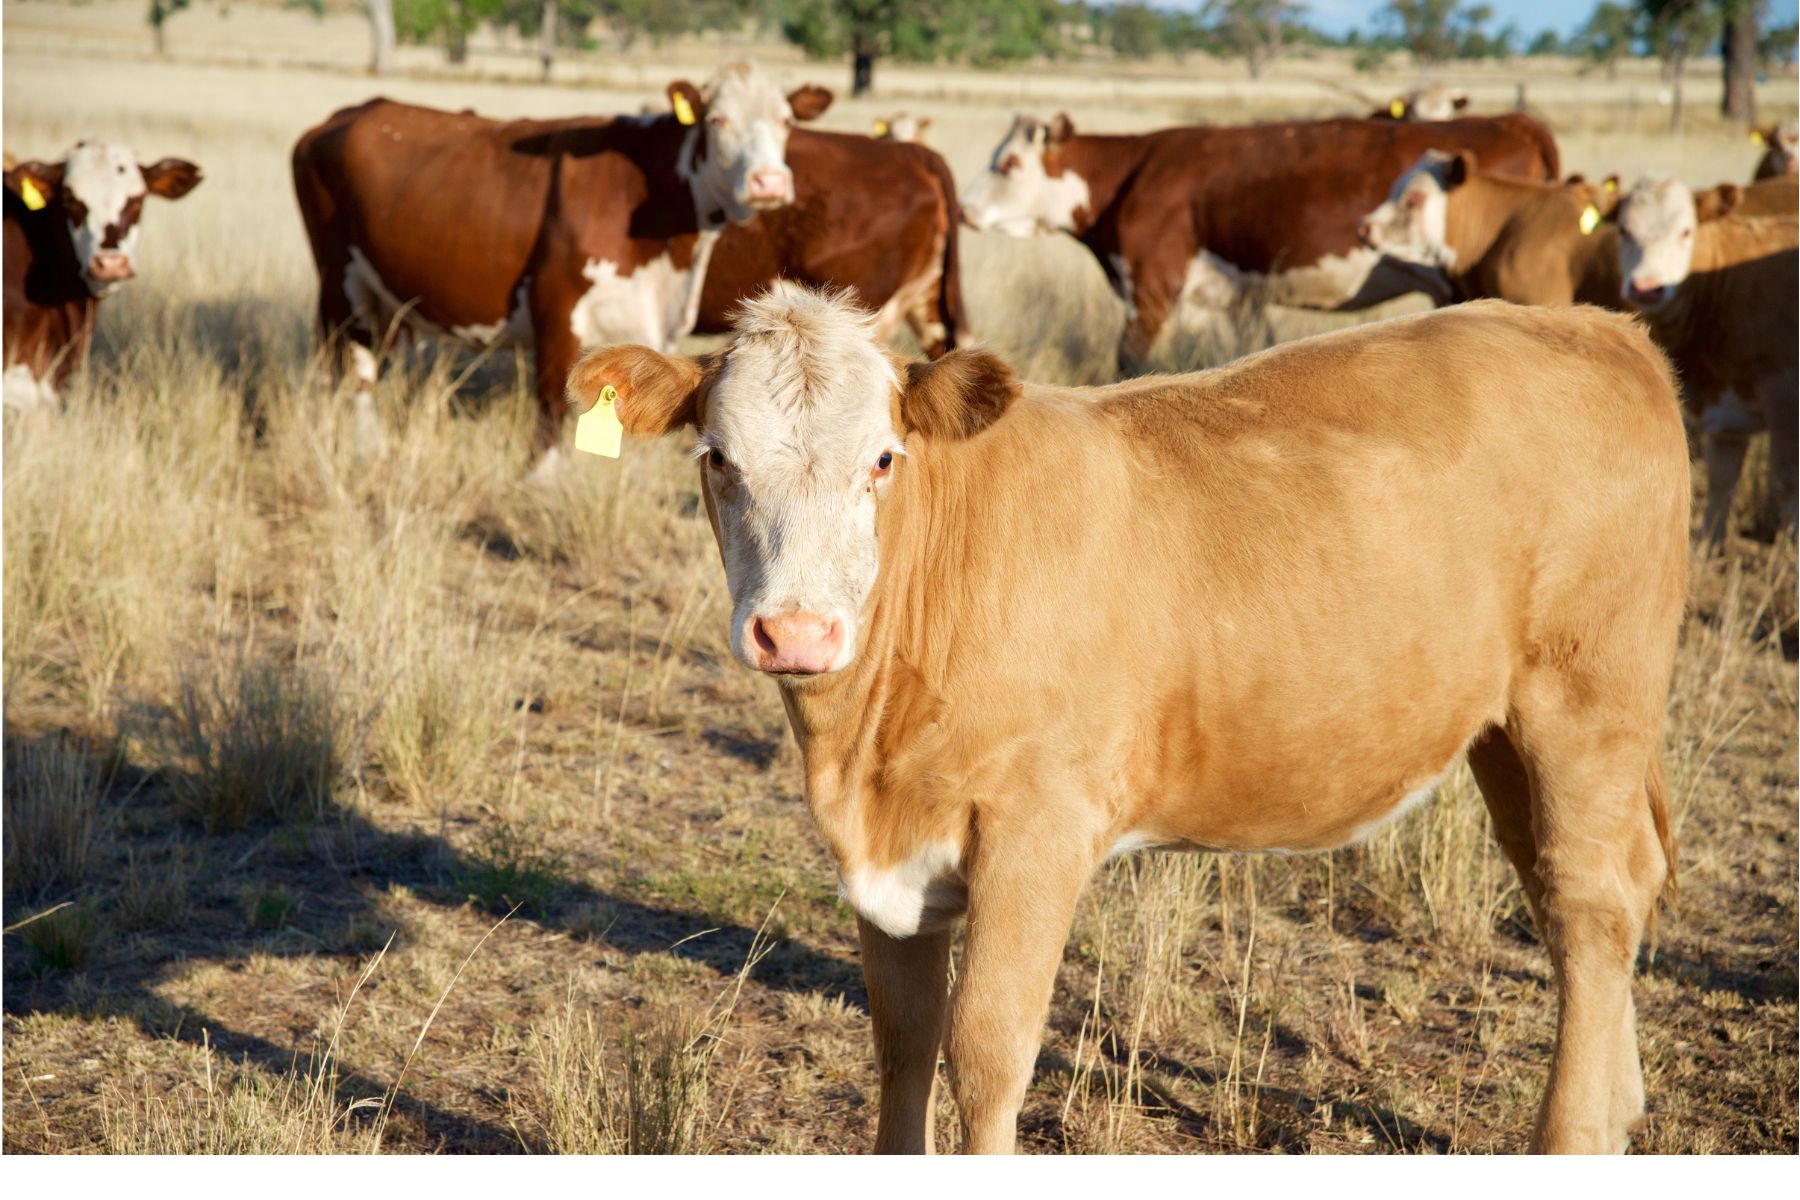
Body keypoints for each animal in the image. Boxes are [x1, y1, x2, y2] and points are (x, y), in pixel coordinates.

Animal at [290, 61, 832, 468]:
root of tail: (355, 111)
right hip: (341, 283)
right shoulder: (556, 300)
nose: (769, 182)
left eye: (787, 122)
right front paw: (540, 477)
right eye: (716, 120)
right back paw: (365, 448)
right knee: (353, 369)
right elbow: (552, 398)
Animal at [565, 282, 1688, 1155]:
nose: (796, 632)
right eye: (716, 457)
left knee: (1591, 899)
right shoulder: (894, 862)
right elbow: (903, 1042)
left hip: (1585, 702)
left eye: (883, 460)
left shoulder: (1036, 829)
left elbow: (986, 1050)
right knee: (1582, 892)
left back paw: (1576, 1133)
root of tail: (1601, 327)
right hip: (1507, 732)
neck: (863, 758)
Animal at [958, 112, 1560, 373]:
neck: (1135, 173)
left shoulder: (1150, 288)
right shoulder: (1237, 298)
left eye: (1008, 163)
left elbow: (1129, 363)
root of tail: (1512, 120)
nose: (962, 209)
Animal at [1617, 175, 1799, 545]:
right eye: (1623, 230)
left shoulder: (1784, 395)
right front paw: (1709, 542)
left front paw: (1789, 547)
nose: (1646, 287)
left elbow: (1785, 482)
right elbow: (1721, 479)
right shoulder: (1726, 412)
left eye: (1686, 232)